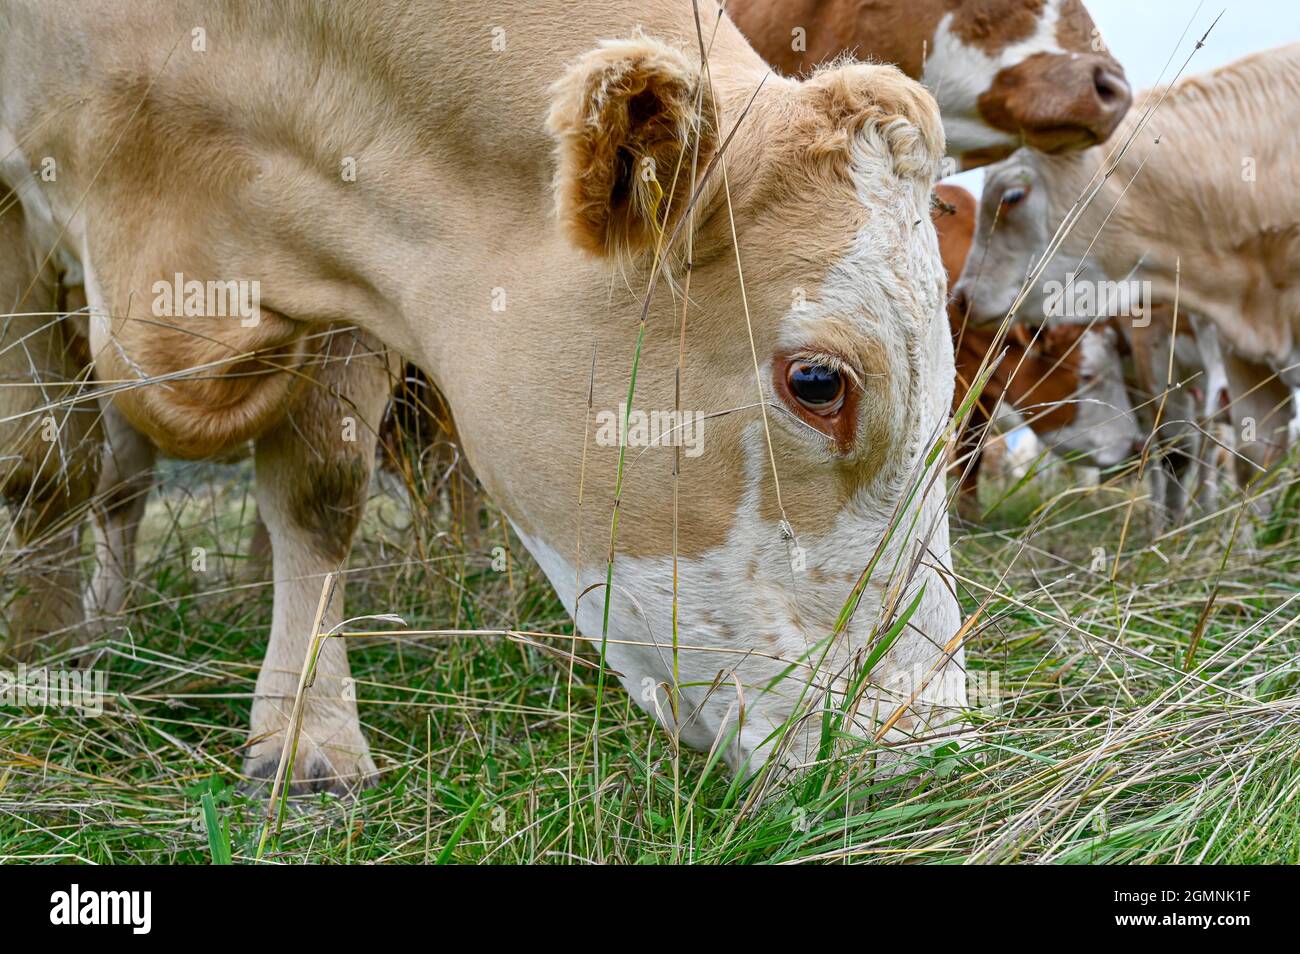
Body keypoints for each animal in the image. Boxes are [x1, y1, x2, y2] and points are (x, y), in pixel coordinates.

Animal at [0, 0, 965, 791]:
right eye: (818, 383)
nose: (925, 745)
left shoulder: (359, 255)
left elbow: (319, 491)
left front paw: (309, 736)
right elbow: (43, 463)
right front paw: (42, 663)